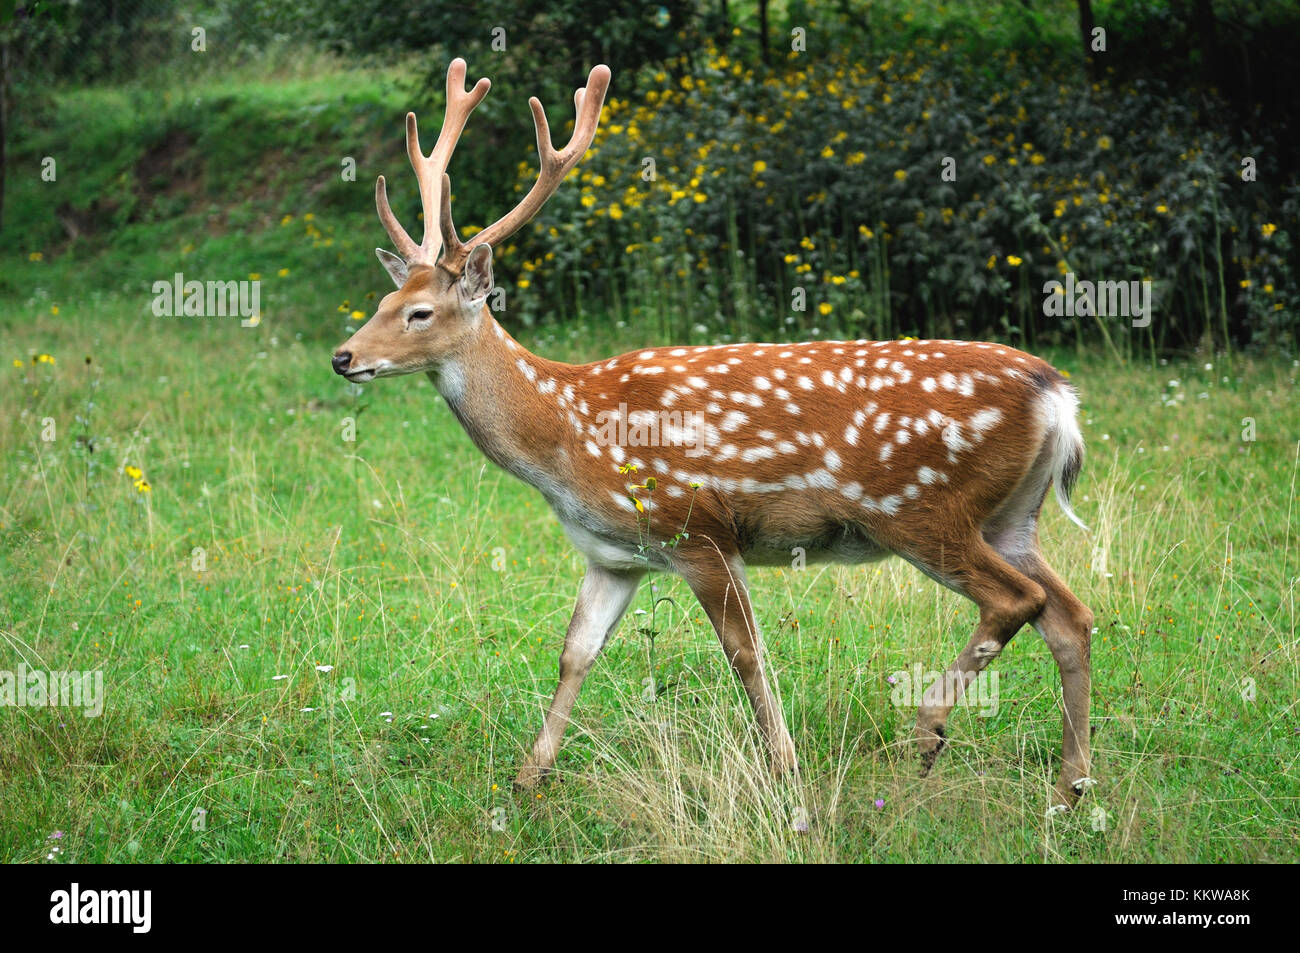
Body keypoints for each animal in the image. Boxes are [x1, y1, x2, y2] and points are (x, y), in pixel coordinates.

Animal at [332, 58, 1095, 808]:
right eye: (384, 299)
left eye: (420, 313)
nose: (343, 356)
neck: (567, 438)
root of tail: (1057, 396)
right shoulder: (614, 554)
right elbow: (575, 652)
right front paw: (528, 779)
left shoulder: (698, 528)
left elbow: (746, 654)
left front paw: (785, 773)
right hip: (1009, 516)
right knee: (1072, 616)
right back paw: (1071, 786)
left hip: (921, 507)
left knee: (1017, 600)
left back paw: (931, 728)